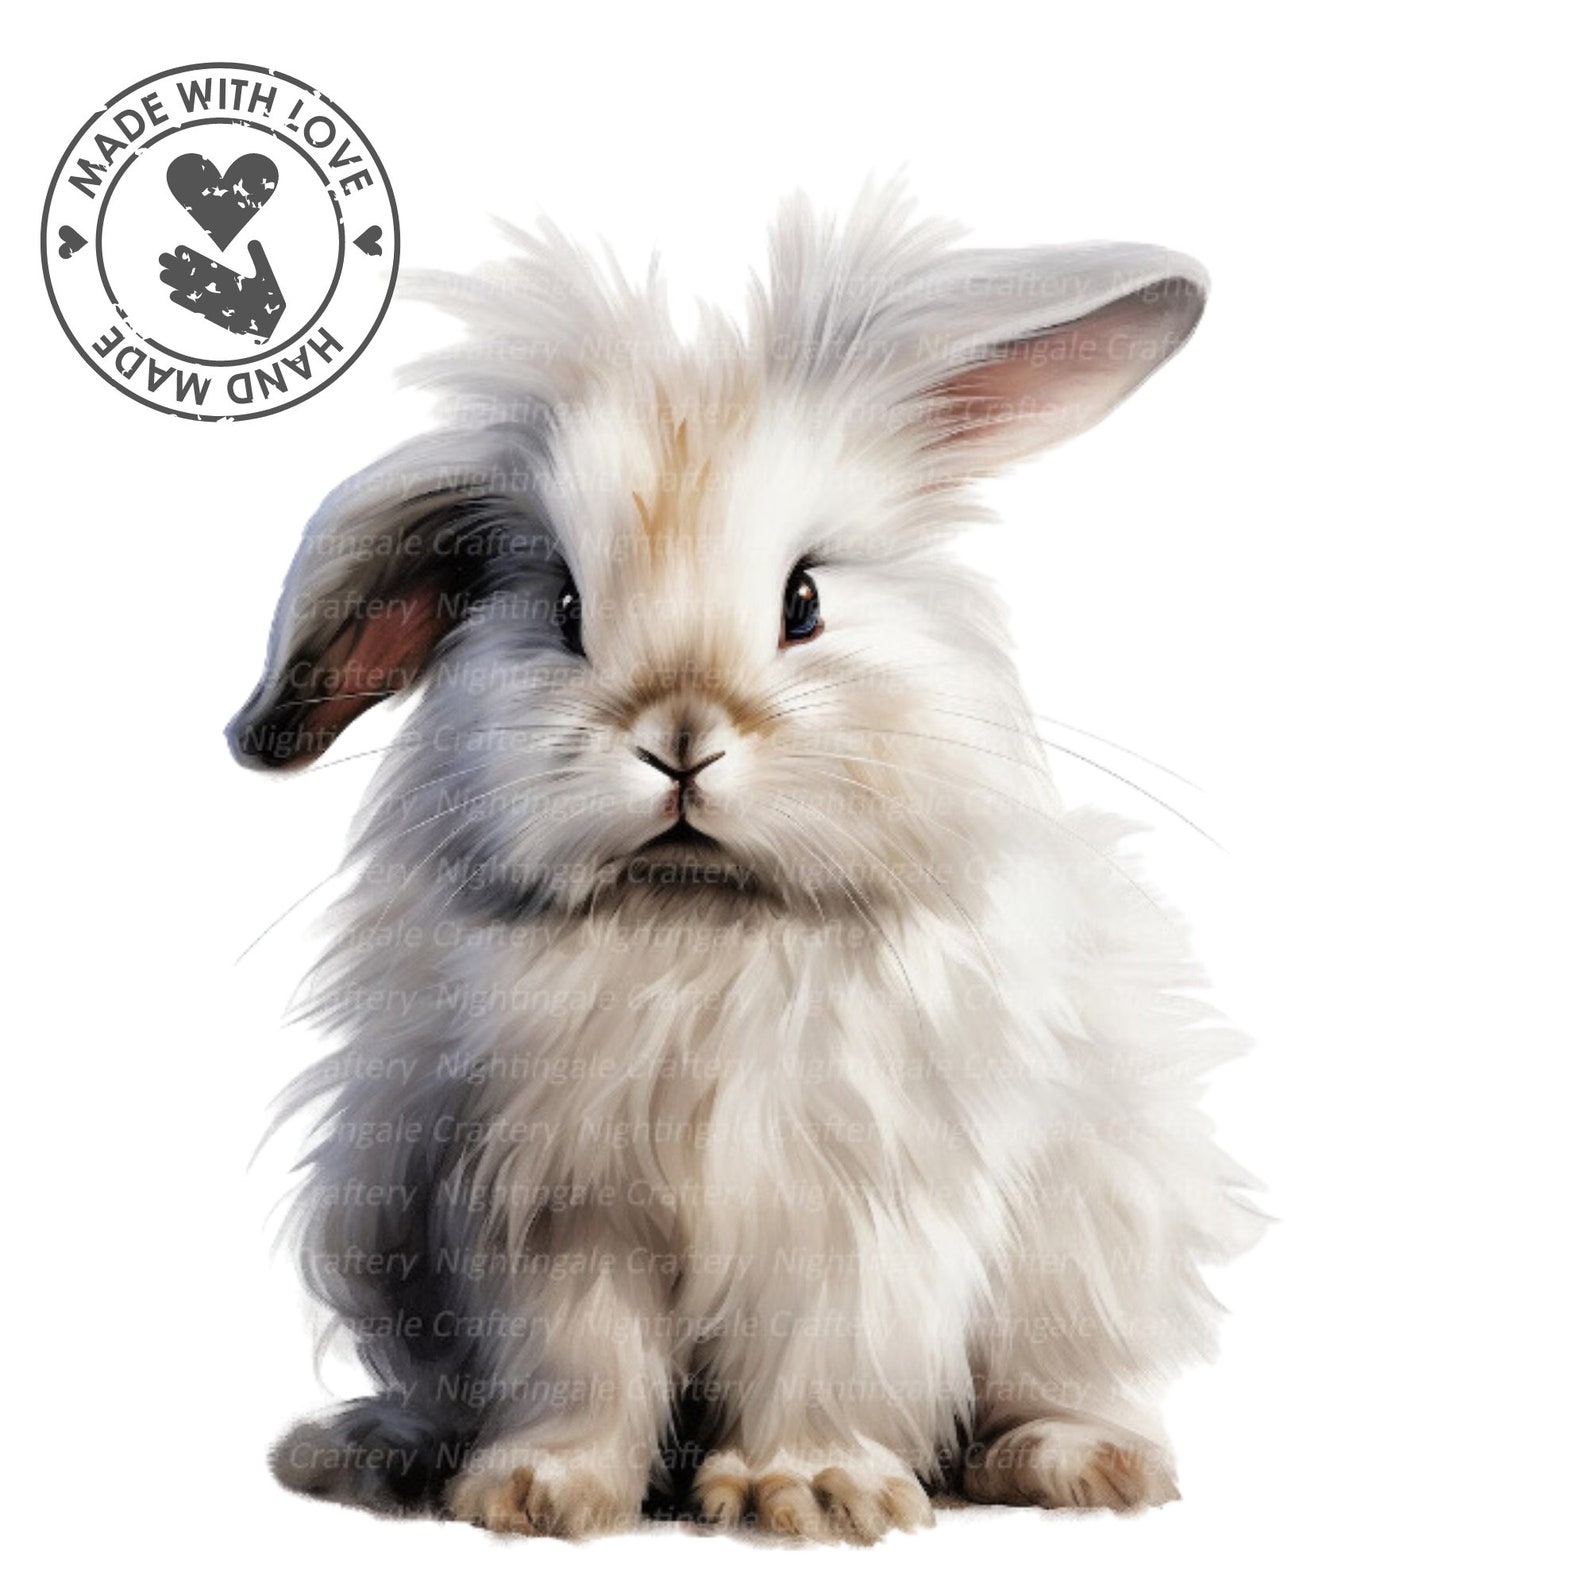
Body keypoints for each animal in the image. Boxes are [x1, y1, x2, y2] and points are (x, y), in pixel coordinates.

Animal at [229, 179, 1263, 1542]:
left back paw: (1075, 1461)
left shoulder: (857, 1217)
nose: (679, 739)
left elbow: (825, 1355)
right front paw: (540, 1493)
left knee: (1064, 1372)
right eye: (564, 608)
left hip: (1102, 1229)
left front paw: (808, 1489)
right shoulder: (551, 1218)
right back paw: (372, 1451)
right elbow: (582, 1363)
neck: (700, 917)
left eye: (804, 601)